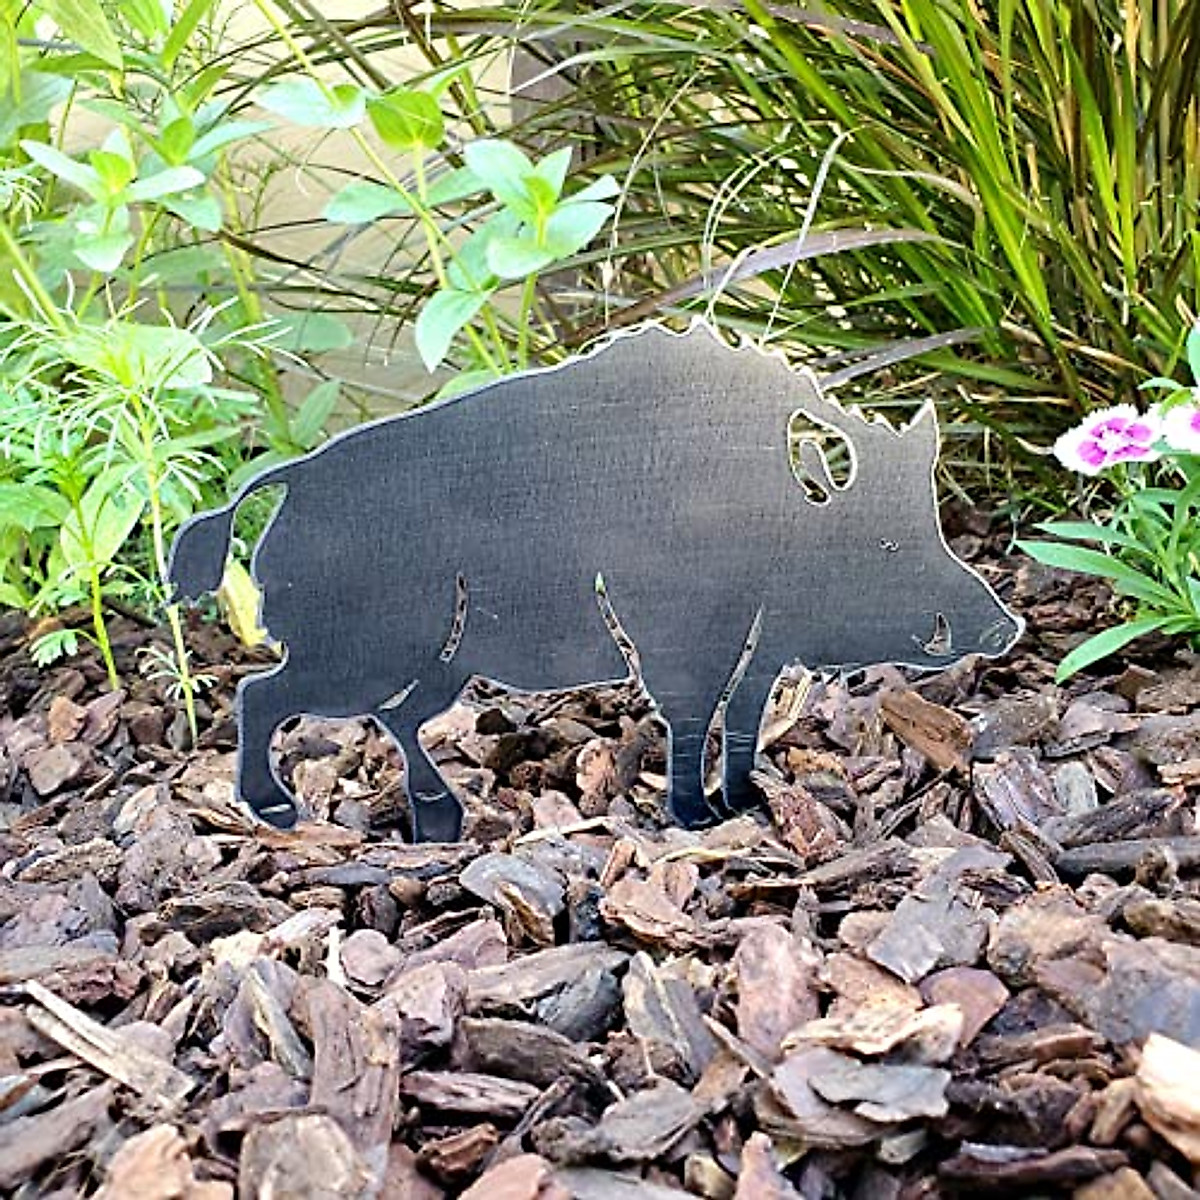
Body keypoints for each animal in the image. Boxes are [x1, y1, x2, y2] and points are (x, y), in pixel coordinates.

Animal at [170, 322, 1021, 840]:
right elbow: (693, 716)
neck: (771, 519)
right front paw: (697, 819)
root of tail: (290, 479)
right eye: (883, 542)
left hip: (441, 664)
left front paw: (745, 803)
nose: (1003, 626)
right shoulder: (681, 639)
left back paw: (439, 824)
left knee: (393, 718)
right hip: (360, 655)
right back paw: (278, 811)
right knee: (263, 695)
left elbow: (743, 721)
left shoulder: (761, 650)